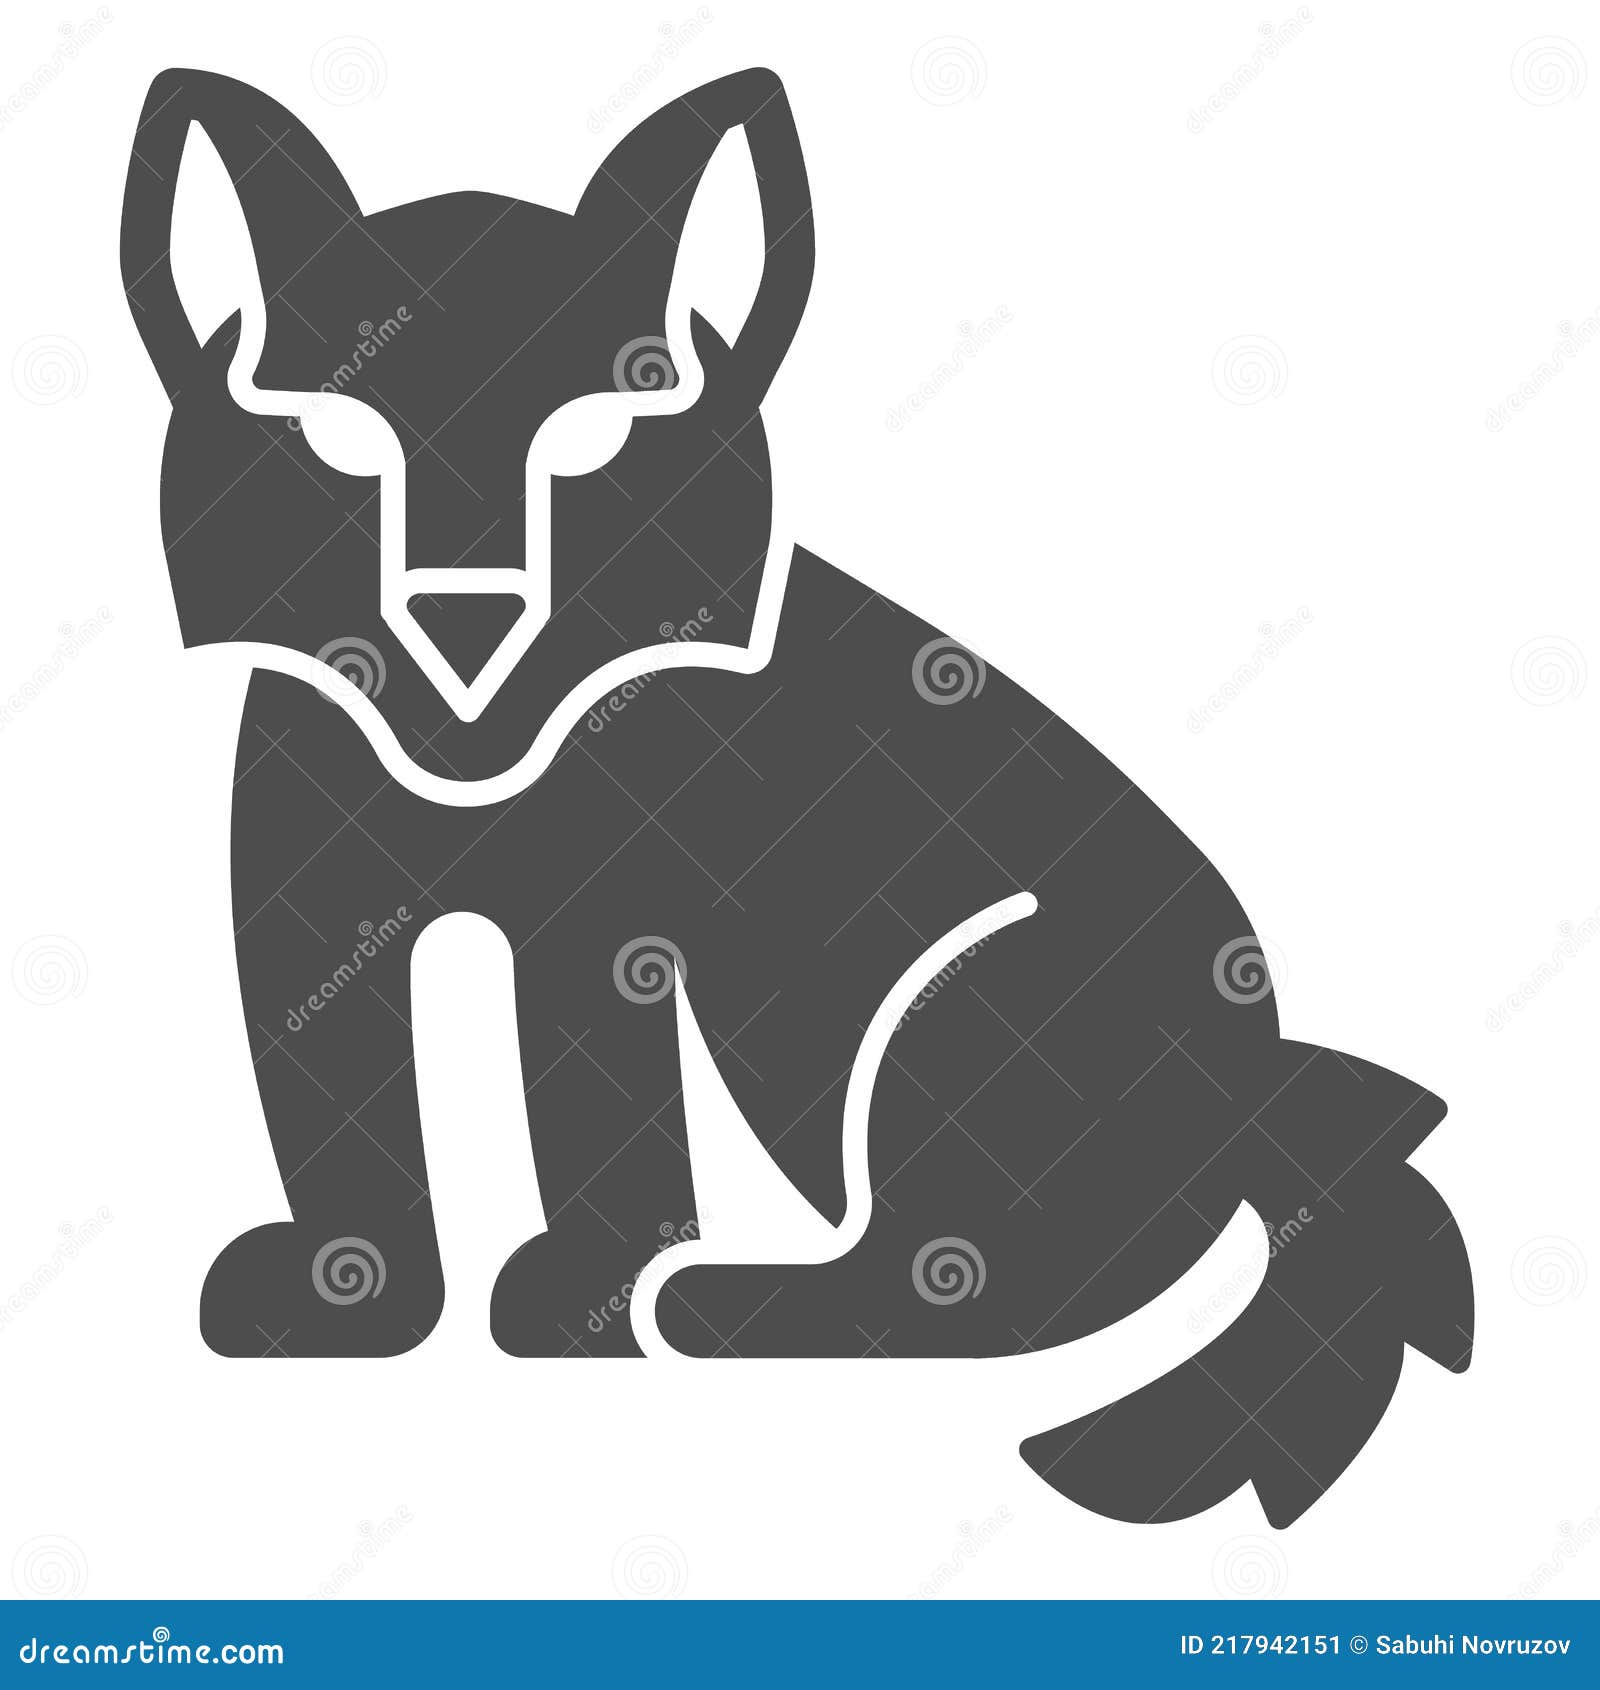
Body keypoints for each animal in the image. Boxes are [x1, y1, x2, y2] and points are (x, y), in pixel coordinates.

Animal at [121, 66, 1471, 1526]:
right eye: (336, 432)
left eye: (597, 433)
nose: (464, 617)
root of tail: (1267, 1100)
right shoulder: (308, 908)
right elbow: (328, 1096)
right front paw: (348, 1293)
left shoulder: (609, 933)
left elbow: (608, 1106)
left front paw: (576, 1301)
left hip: (967, 1008)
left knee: (961, 1285)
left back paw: (719, 1299)